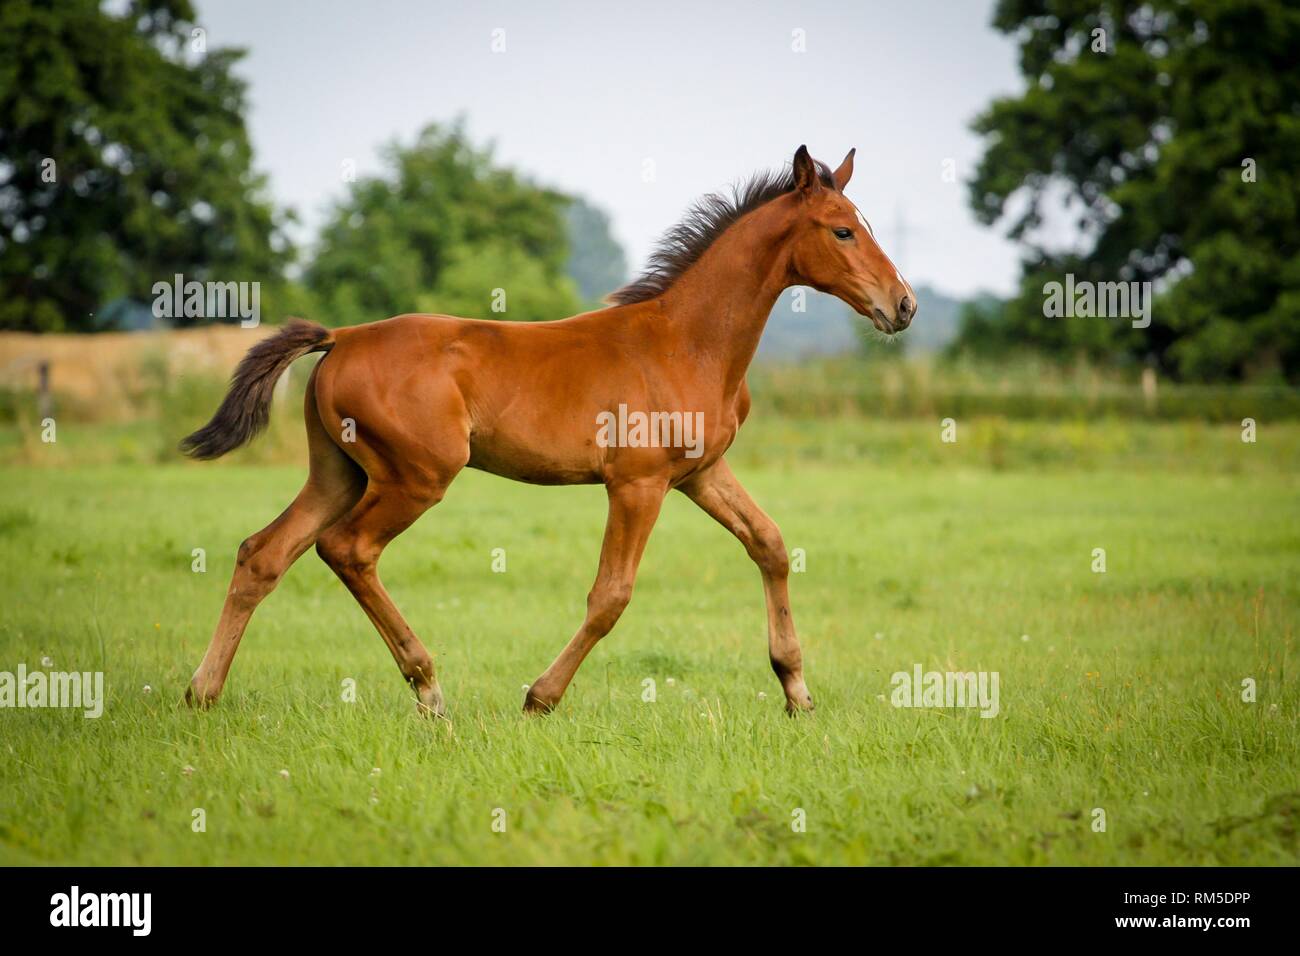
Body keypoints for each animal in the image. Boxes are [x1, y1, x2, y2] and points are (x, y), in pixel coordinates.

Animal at [181, 145, 915, 716]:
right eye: (842, 232)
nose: (902, 305)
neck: (686, 341)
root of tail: (343, 336)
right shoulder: (638, 484)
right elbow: (611, 595)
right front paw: (541, 697)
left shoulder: (701, 474)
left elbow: (770, 545)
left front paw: (796, 690)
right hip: (414, 478)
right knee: (347, 549)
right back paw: (428, 687)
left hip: (339, 472)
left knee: (263, 553)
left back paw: (203, 691)